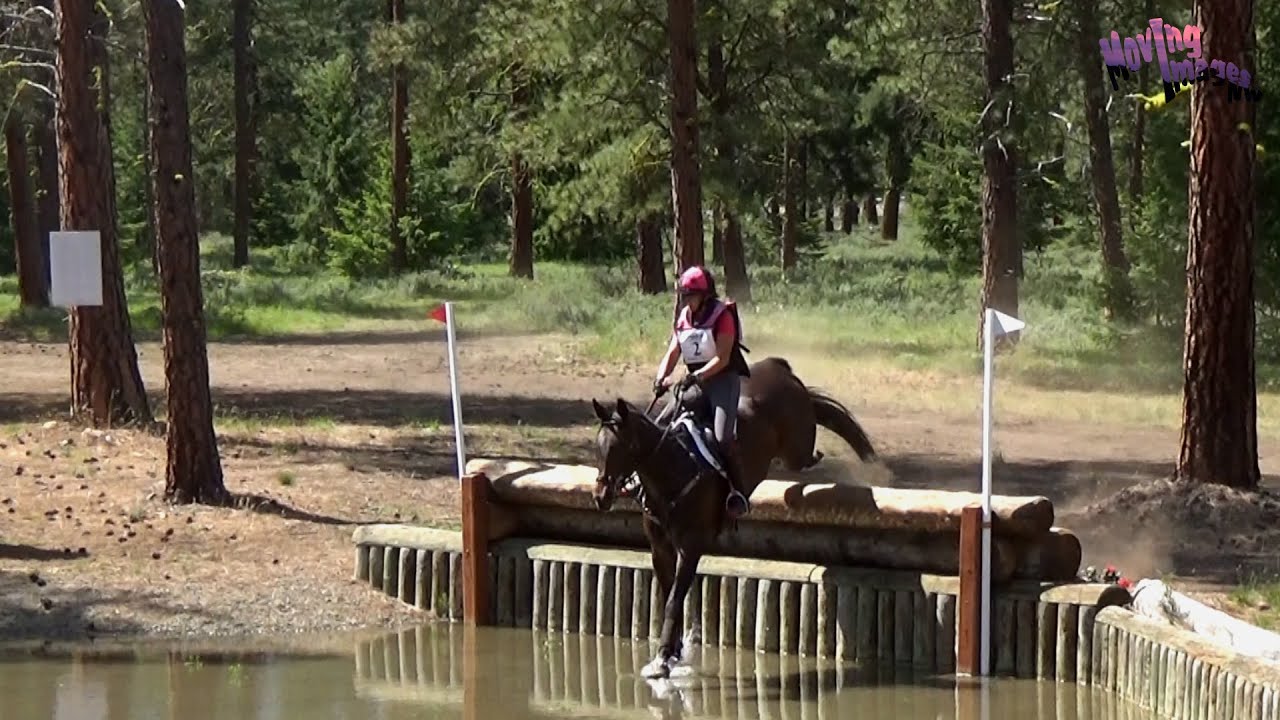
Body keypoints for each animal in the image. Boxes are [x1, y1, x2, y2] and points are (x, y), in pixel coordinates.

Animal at [590, 356, 877, 678]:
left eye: (622, 448)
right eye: (598, 448)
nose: (600, 496)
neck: (673, 471)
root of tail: (779, 368)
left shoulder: (691, 547)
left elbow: (675, 600)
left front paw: (662, 660)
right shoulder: (660, 549)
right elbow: (667, 594)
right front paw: (673, 652)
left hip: (794, 447)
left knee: (807, 444)